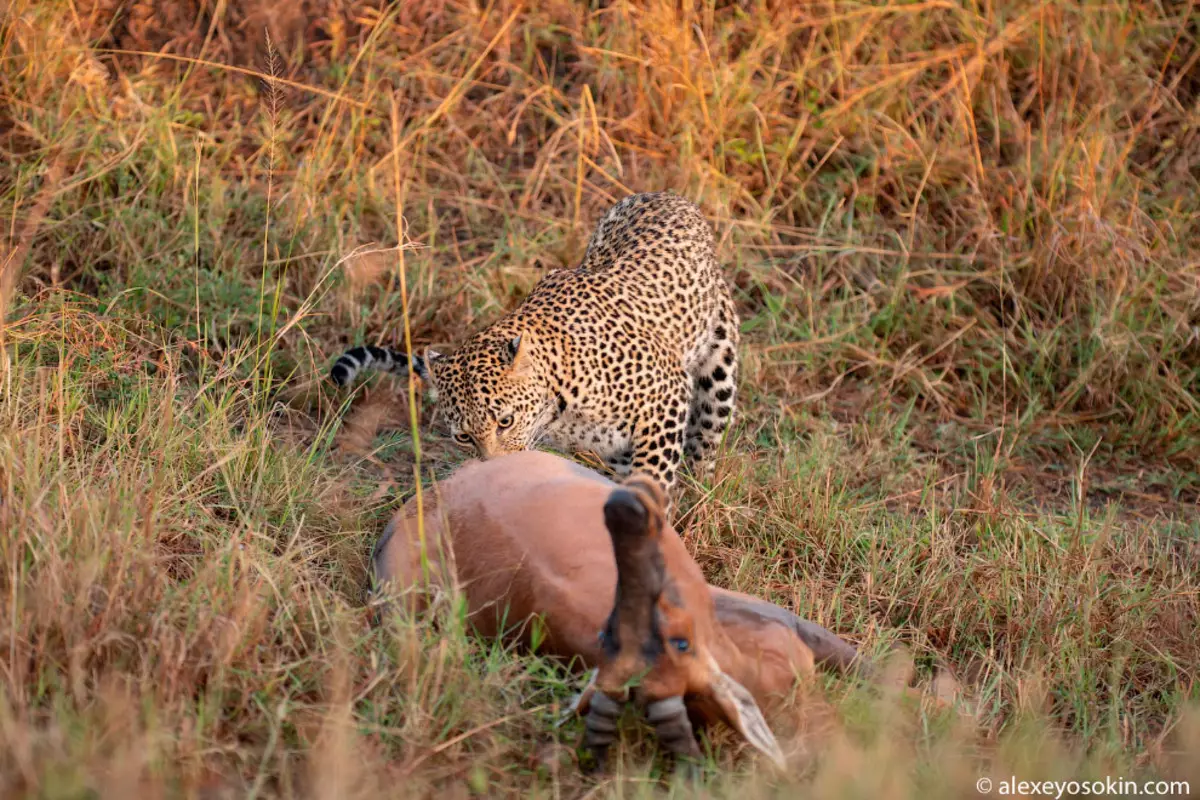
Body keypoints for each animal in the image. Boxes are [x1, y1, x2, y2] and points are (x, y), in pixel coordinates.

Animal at [331, 190, 739, 506]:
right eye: (463, 437)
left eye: (505, 421)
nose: (495, 469)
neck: (560, 407)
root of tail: (667, 196)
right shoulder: (614, 447)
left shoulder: (665, 398)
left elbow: (653, 474)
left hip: (719, 365)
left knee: (706, 439)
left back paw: (698, 495)